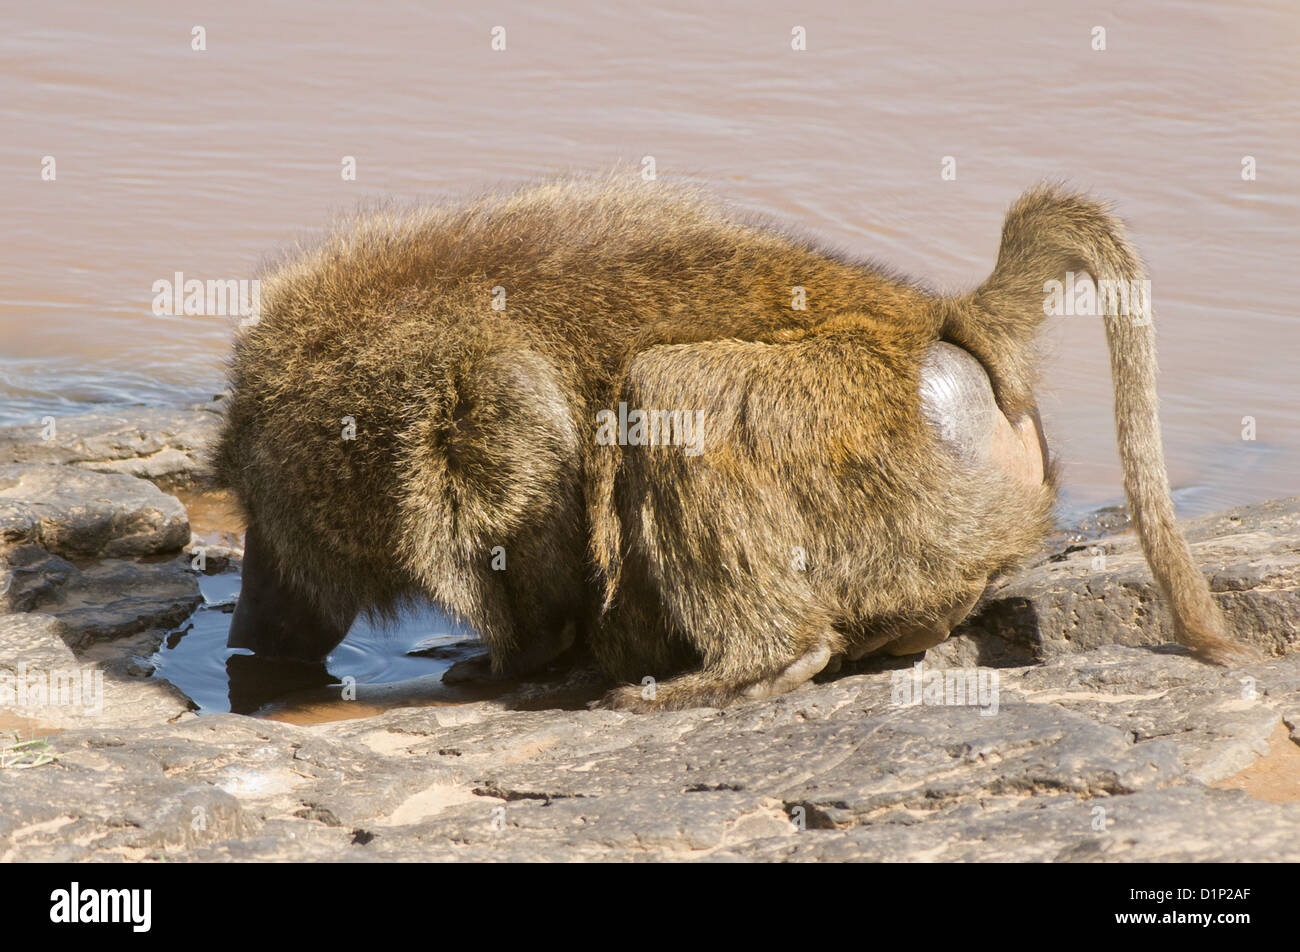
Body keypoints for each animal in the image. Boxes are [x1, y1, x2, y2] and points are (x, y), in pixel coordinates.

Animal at [213, 174, 1247, 712]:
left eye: (270, 519)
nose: (247, 634)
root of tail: (940, 317)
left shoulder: (470, 407)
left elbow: (529, 475)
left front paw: (517, 661)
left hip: (854, 436)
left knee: (674, 390)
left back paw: (757, 662)